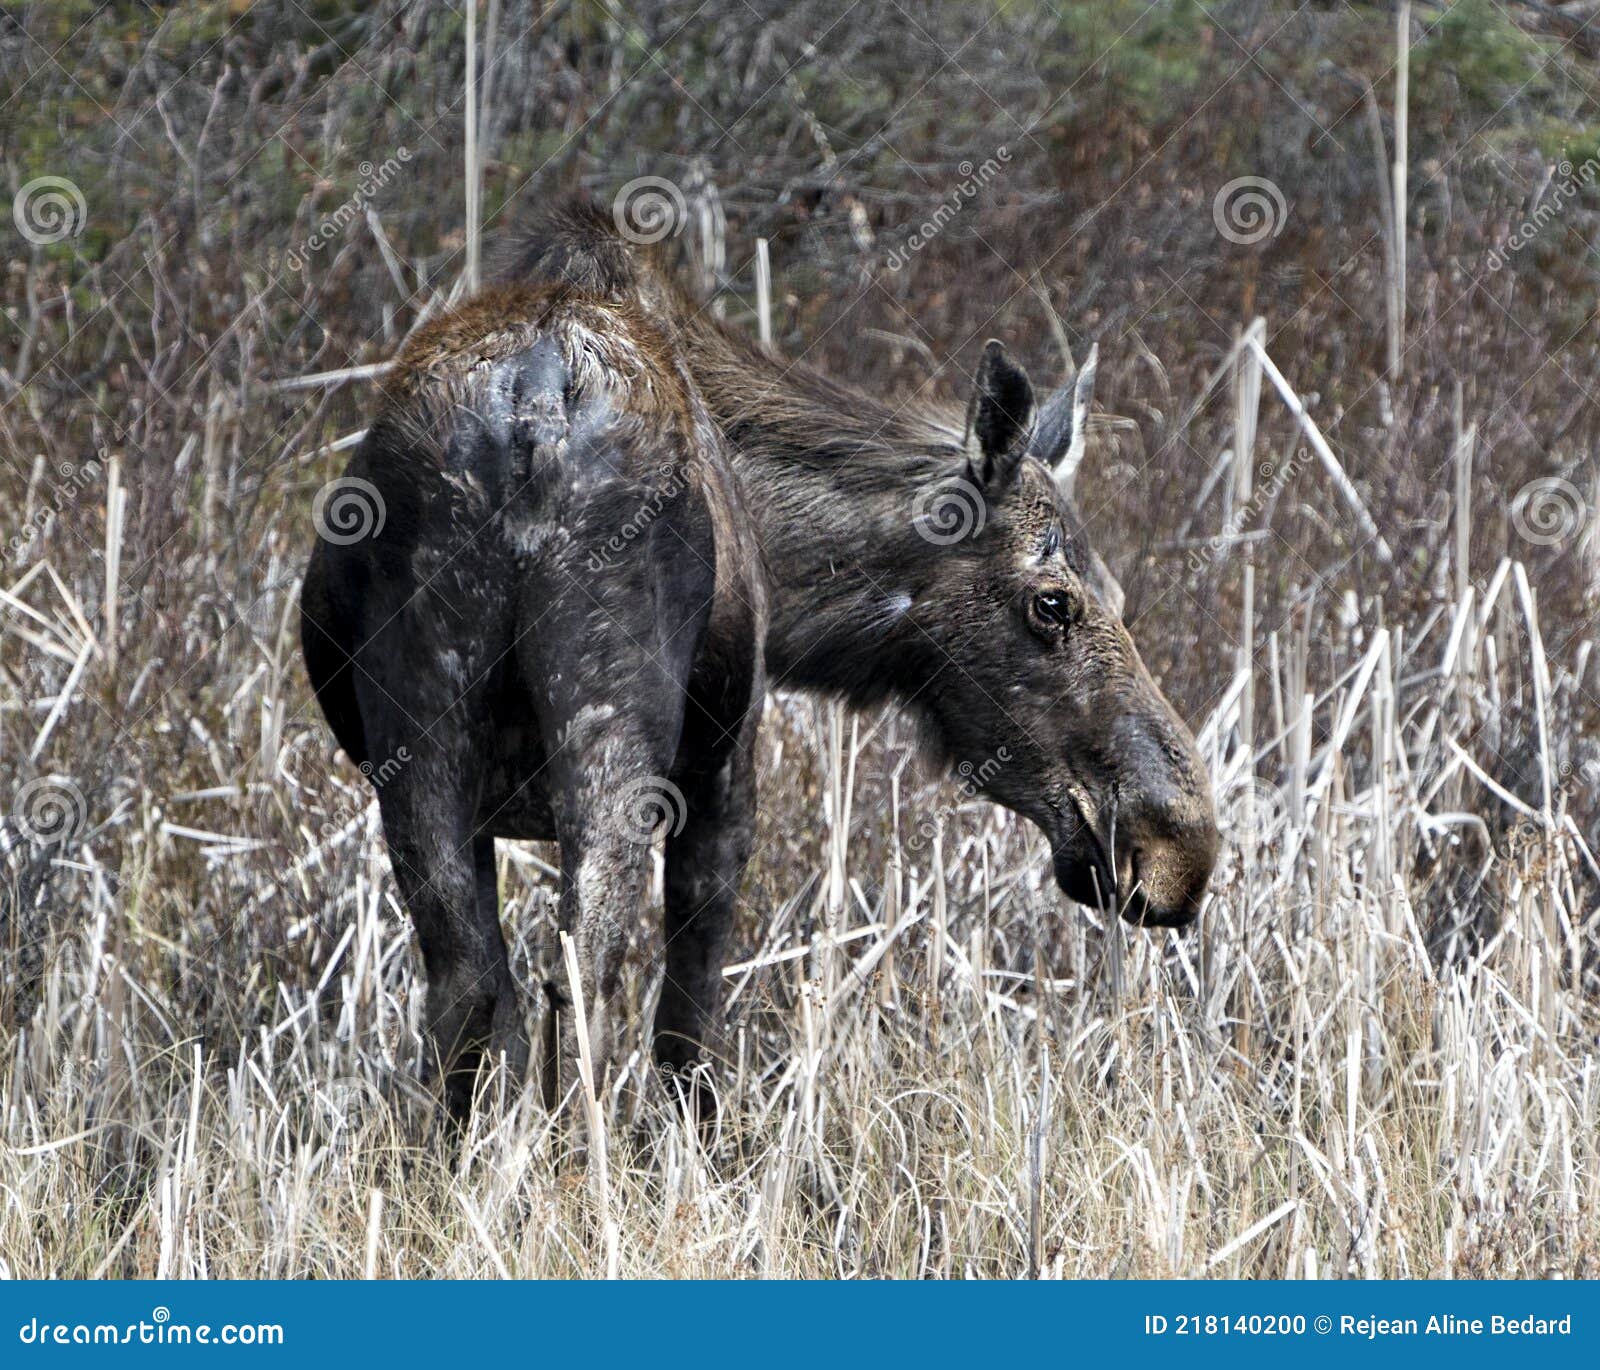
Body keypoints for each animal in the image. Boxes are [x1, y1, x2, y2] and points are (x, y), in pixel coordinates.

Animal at [300, 199, 1218, 1118]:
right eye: (1053, 602)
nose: (1181, 847)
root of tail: (533, 411)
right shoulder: (724, 780)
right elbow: (687, 1029)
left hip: (422, 736)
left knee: (468, 985)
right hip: (613, 735)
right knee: (584, 972)